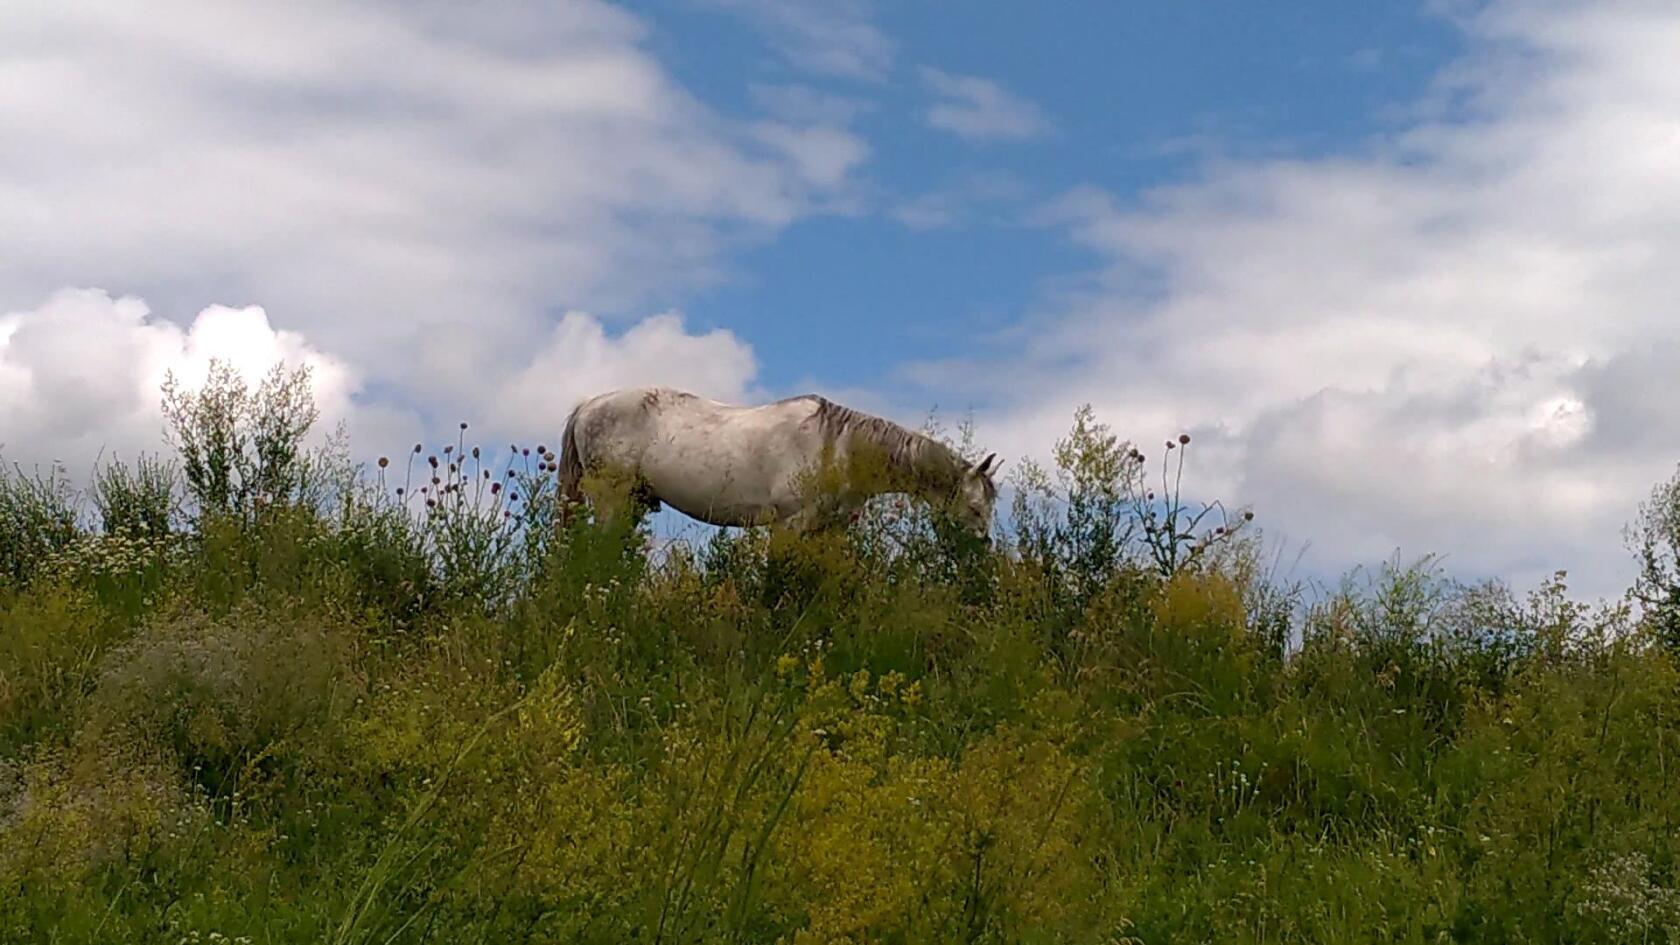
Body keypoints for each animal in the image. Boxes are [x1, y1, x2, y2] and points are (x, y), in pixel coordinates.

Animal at [557, 385, 994, 534]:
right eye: (975, 507)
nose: (981, 549)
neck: (837, 446)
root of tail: (587, 406)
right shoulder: (789, 524)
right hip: (612, 500)